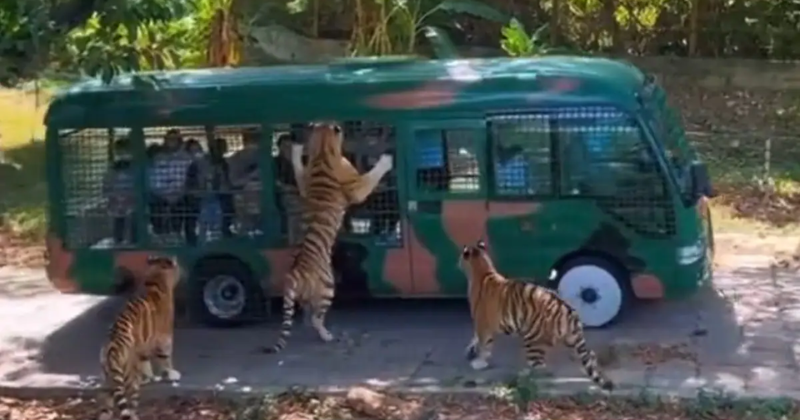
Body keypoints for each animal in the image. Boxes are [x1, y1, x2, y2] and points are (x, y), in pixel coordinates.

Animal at [98, 255, 182, 420]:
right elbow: (166, 358)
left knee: (106, 408)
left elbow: (146, 362)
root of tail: (112, 349)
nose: (182, 270)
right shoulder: (164, 337)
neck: (155, 280)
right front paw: (171, 374)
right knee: (130, 406)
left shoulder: (142, 345)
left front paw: (151, 377)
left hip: (108, 382)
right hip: (129, 378)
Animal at [263, 123, 393, 353]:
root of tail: (294, 274)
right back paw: (327, 336)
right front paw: (386, 161)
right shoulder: (356, 187)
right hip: (328, 288)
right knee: (317, 318)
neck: (323, 149)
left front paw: (295, 151)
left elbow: (298, 171)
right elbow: (370, 177)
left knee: (307, 316)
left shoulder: (304, 183)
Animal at [458, 240, 614, 391]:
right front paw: (470, 351)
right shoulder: (482, 324)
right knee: (589, 356)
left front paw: (479, 362)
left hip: (533, 341)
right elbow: (475, 339)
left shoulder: (483, 324)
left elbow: (484, 344)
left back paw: (524, 376)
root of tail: (569, 311)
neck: (483, 269)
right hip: (572, 340)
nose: (458, 262)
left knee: (541, 368)